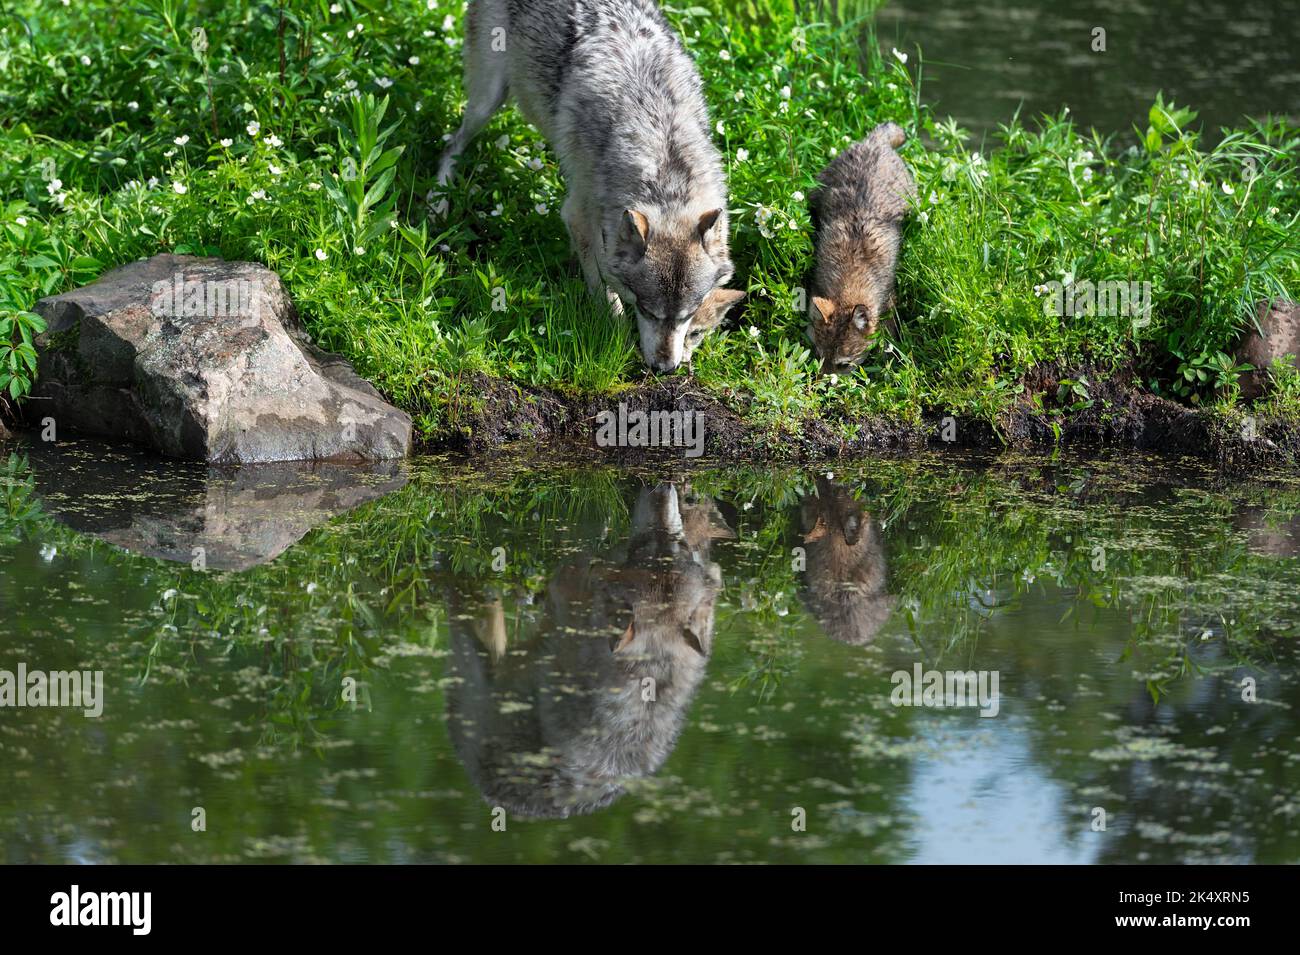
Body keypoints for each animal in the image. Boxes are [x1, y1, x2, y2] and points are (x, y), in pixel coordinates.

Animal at [437, 0, 738, 373]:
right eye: (647, 310)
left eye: (688, 315)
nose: (664, 369)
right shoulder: (579, 215)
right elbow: (604, 288)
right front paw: (615, 333)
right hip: (487, 101)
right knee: (451, 145)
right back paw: (438, 203)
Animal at [807, 122, 917, 374]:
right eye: (818, 356)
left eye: (843, 365)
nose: (820, 384)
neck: (852, 270)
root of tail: (874, 140)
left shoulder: (889, 298)